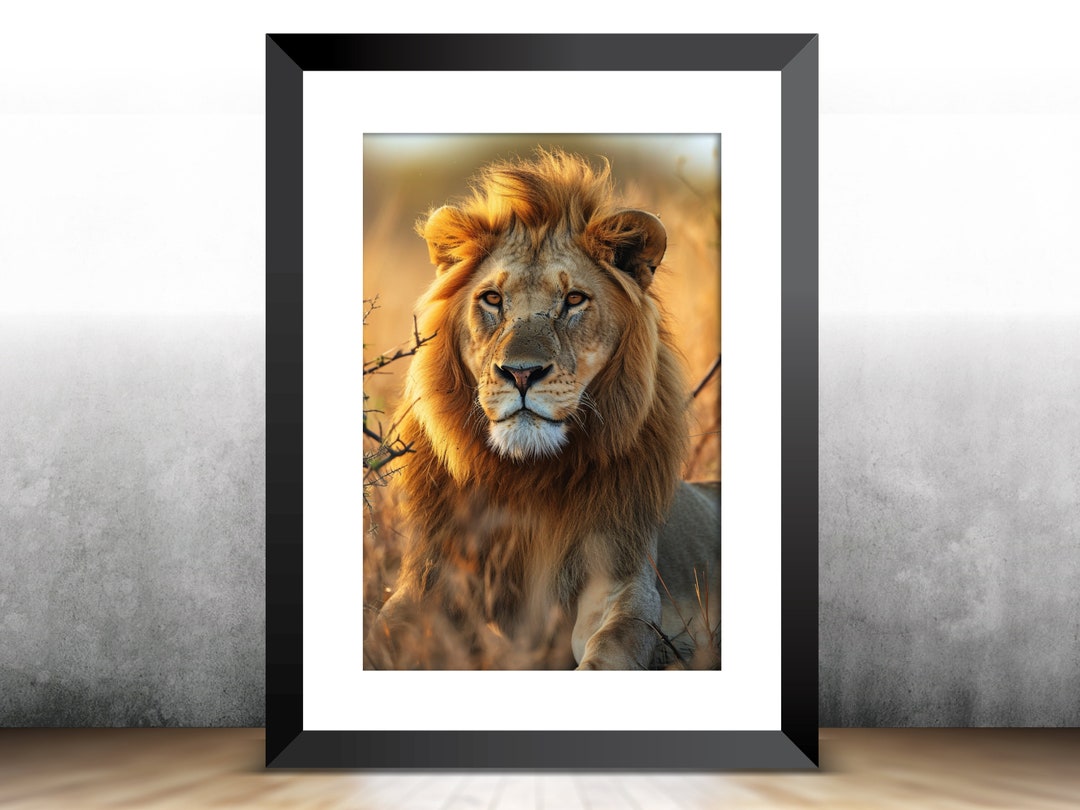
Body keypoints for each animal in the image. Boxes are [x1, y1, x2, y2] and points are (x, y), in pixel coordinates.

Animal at [365, 149, 720, 670]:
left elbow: (612, 647)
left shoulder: (622, 585)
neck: (528, 481)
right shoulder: (427, 581)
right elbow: (380, 636)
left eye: (573, 300)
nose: (521, 373)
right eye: (493, 298)